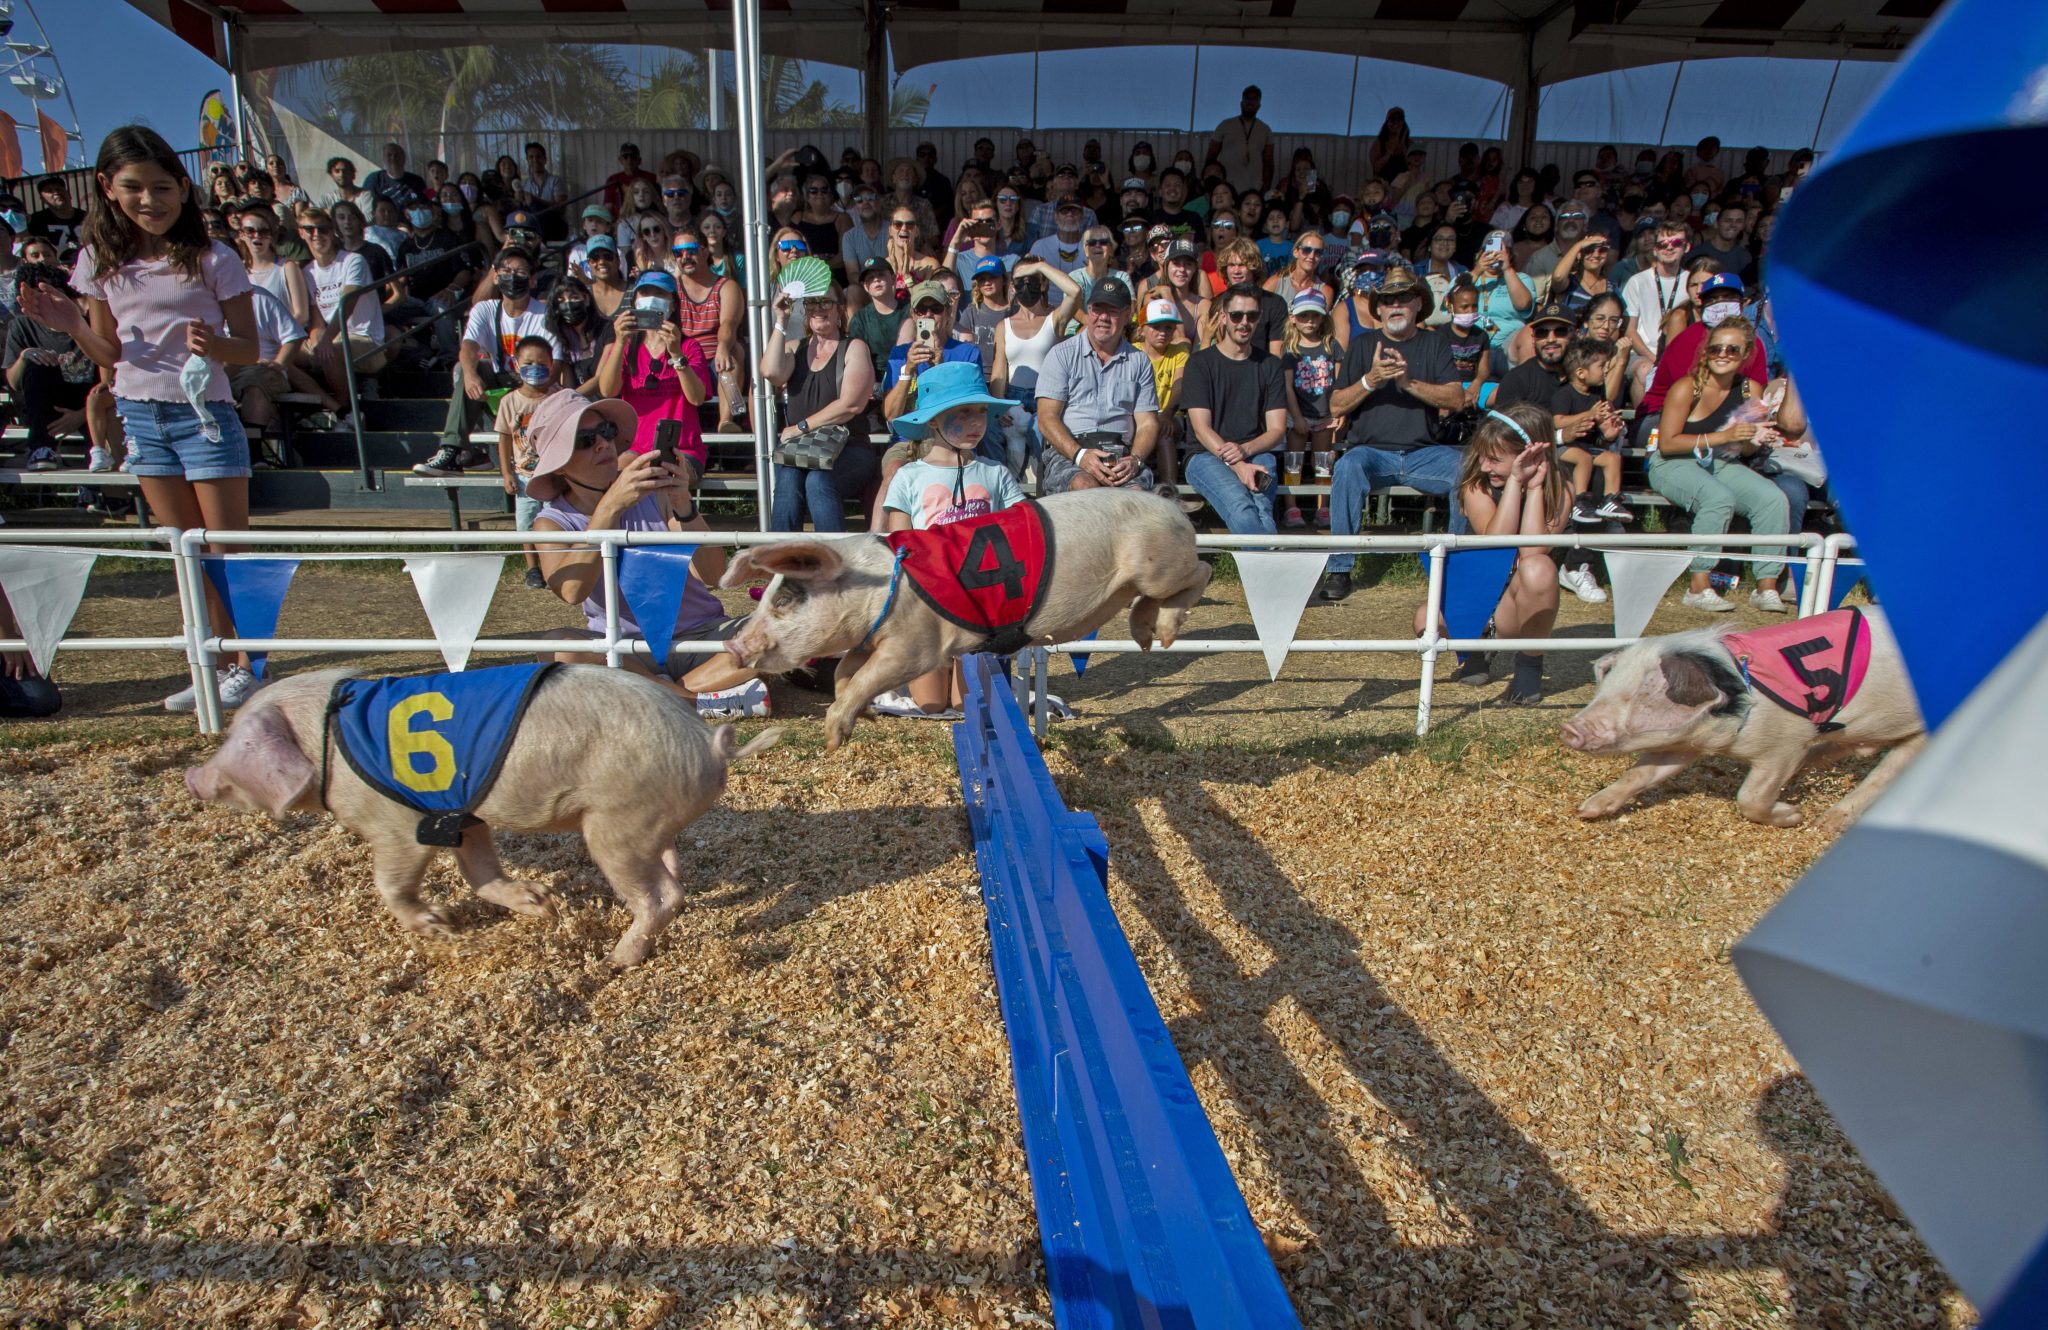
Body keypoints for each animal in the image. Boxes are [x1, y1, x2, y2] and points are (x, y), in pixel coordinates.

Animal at [185, 666, 780, 968]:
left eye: (236, 737)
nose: (194, 777)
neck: (327, 739)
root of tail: (709, 743)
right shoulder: (464, 814)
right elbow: (479, 871)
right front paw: (541, 905)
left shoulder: (398, 821)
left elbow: (392, 879)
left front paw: (437, 926)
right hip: (646, 822)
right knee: (675, 869)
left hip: (616, 825)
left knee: (662, 895)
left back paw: (617, 959)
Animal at [720, 488, 1209, 748]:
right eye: (769, 597)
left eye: (786, 600)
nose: (732, 644)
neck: (876, 587)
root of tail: (1173, 506)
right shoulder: (866, 640)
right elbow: (844, 672)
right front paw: (867, 718)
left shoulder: (916, 646)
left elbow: (867, 676)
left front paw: (833, 738)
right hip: (1140, 580)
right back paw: (1145, 639)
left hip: (1160, 564)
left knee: (1201, 569)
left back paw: (1163, 637)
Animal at [1560, 607, 1924, 833]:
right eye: (1606, 685)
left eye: (1641, 694)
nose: (1569, 728)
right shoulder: (1686, 742)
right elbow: (1640, 773)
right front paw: (1588, 809)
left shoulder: (1785, 745)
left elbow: (1750, 796)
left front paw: (1794, 815)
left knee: (1885, 772)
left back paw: (1823, 824)